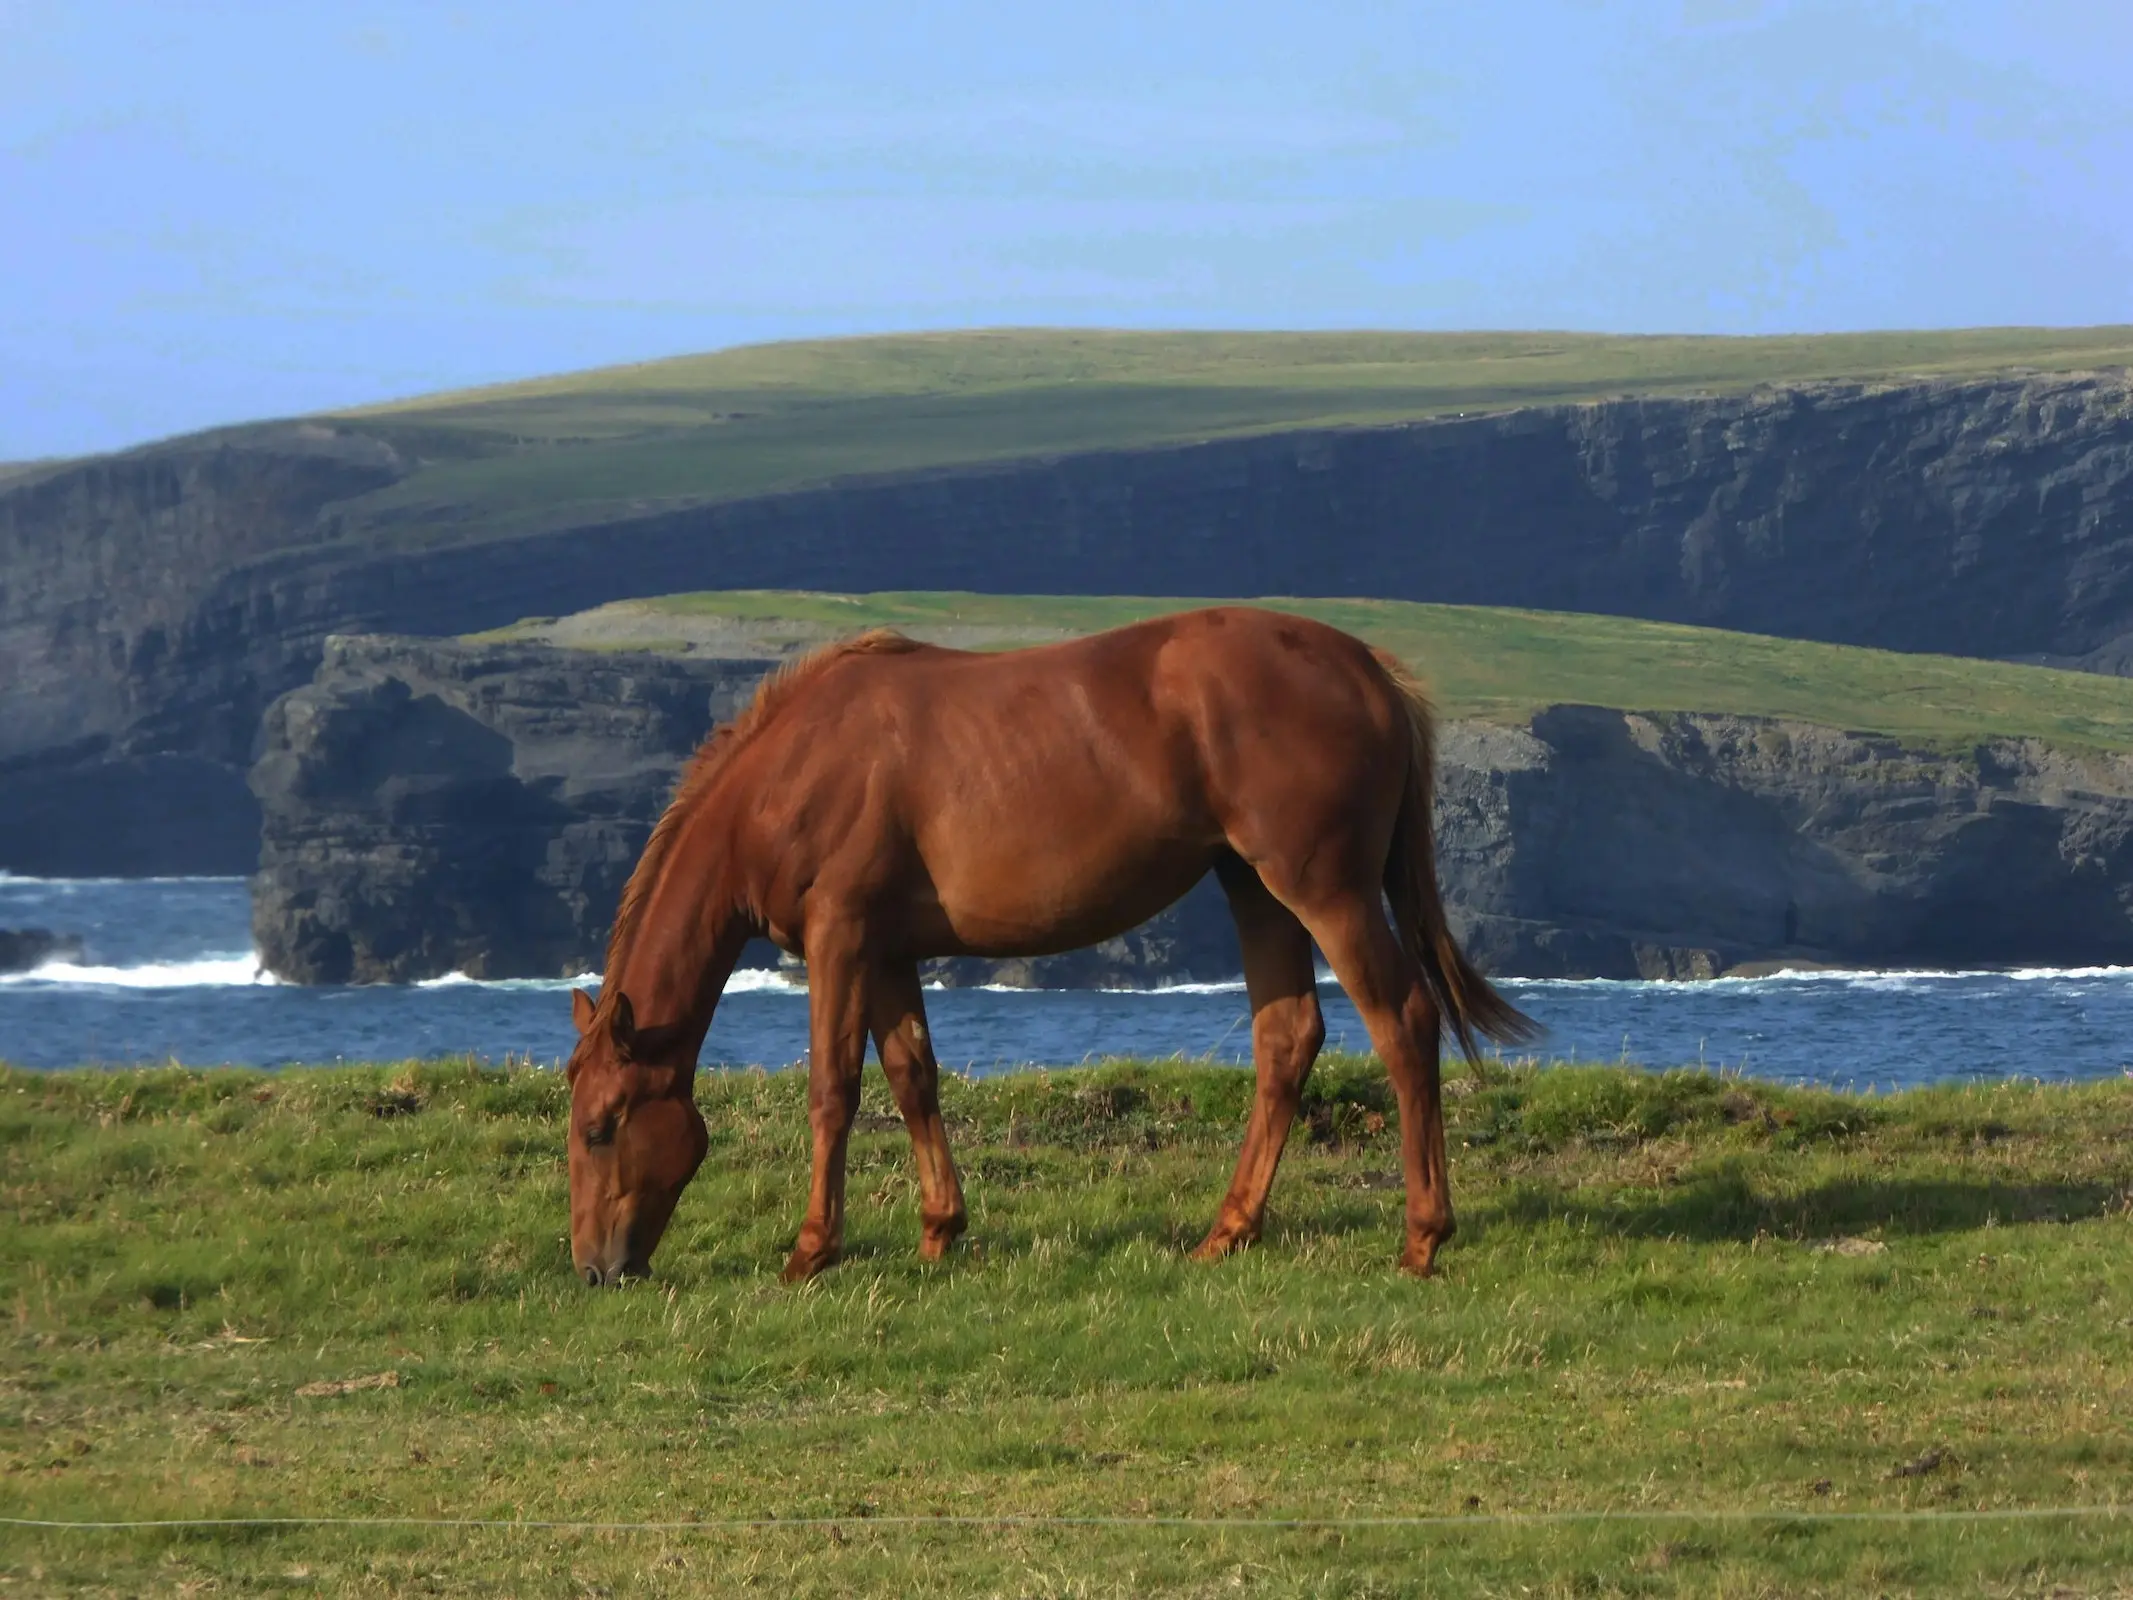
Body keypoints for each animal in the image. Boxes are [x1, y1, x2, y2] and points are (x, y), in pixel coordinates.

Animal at [563, 605, 1534, 1286]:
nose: (596, 1269)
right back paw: (1227, 1231)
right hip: (1256, 890)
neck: (793, 769)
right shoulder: (886, 950)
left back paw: (1421, 1238)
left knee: (1403, 1021)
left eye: (602, 1126)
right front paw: (939, 1230)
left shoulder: (838, 937)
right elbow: (912, 1078)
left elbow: (833, 1091)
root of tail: (1366, 668)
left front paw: (811, 1250)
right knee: (1287, 1040)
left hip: (1324, 891)